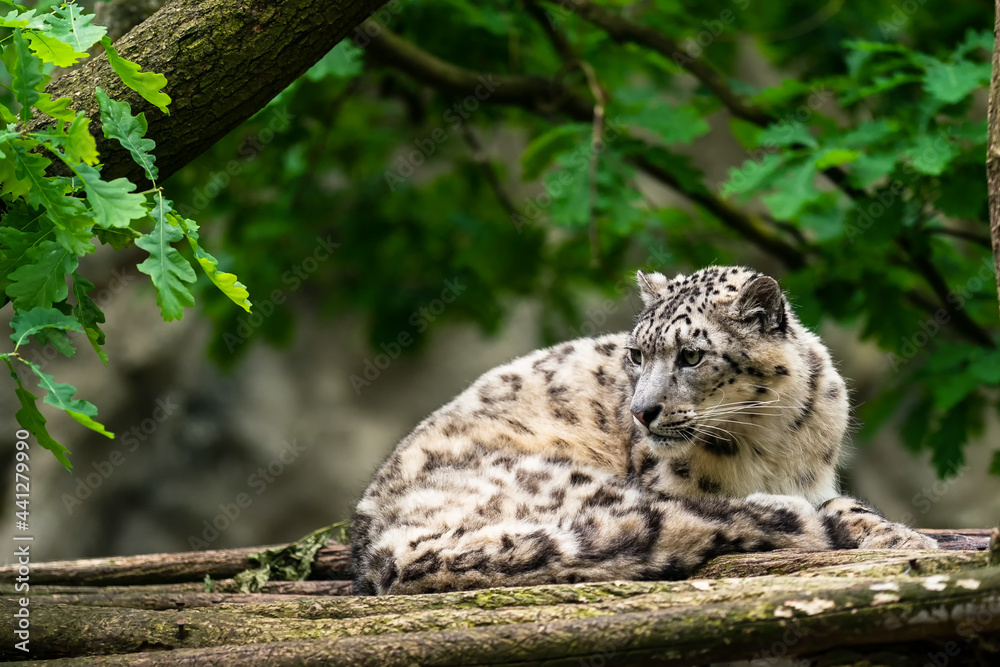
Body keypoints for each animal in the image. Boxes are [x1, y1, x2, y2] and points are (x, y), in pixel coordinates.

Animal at [351, 265, 938, 595]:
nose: (641, 412)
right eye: (636, 354)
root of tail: (379, 548)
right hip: (568, 482)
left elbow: (853, 507)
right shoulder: (670, 482)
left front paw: (906, 538)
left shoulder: (818, 479)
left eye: (691, 355)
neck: (769, 442)